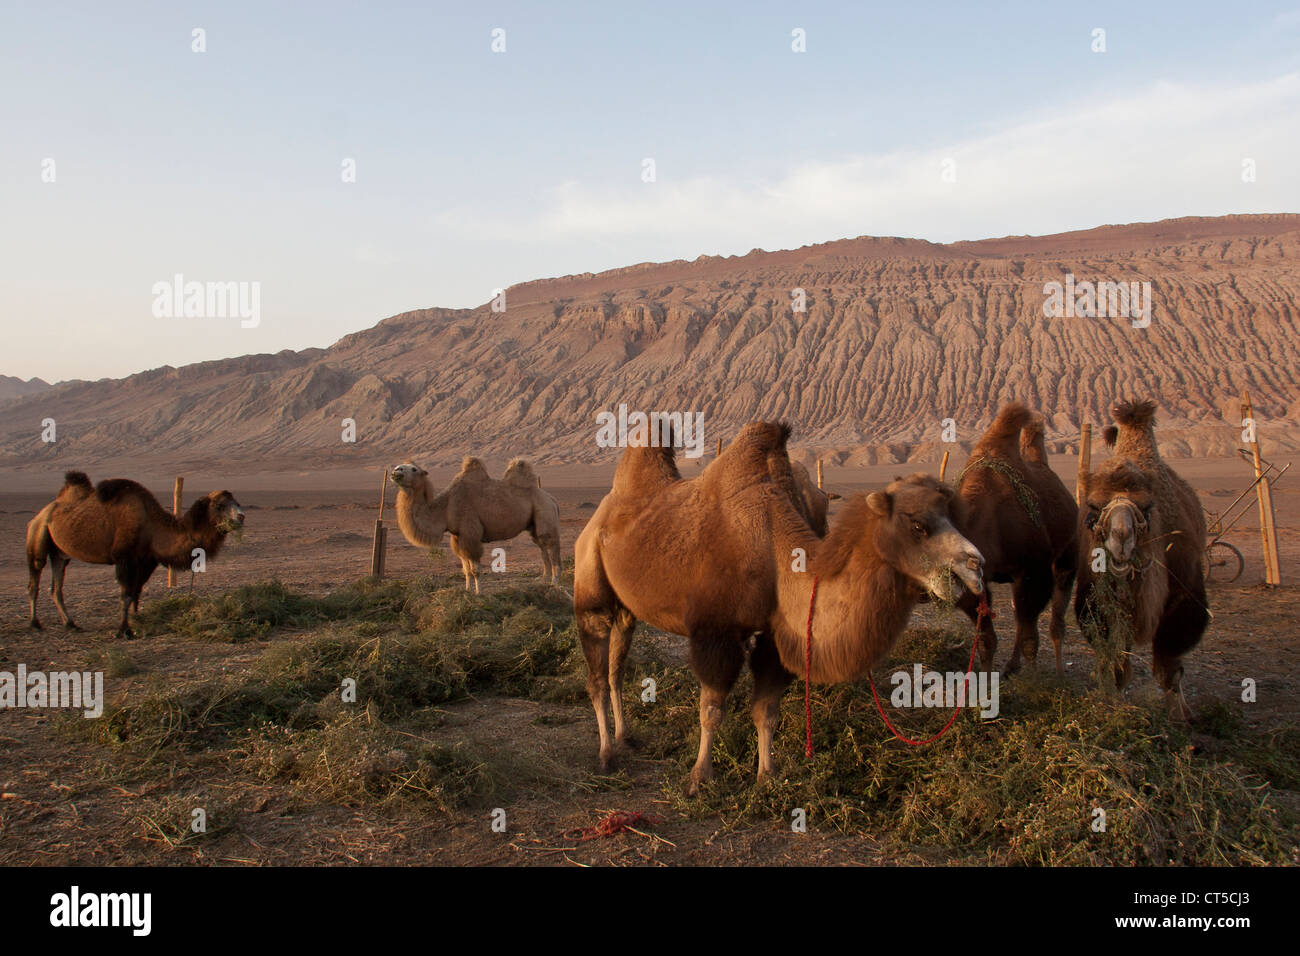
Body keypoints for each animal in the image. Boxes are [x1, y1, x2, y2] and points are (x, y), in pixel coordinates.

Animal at [26, 471, 245, 638]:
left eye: (237, 502)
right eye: (220, 505)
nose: (241, 517)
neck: (152, 527)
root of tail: (43, 512)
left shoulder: (147, 561)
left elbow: (137, 592)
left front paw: (137, 619)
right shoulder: (125, 559)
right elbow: (126, 594)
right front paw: (124, 630)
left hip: (60, 553)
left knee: (56, 586)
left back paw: (70, 624)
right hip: (38, 535)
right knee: (35, 579)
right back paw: (35, 623)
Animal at [389, 457, 562, 592]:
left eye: (413, 469)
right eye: (400, 466)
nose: (396, 471)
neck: (445, 508)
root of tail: (552, 499)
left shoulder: (470, 533)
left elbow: (475, 569)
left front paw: (479, 592)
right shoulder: (457, 536)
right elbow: (466, 569)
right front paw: (467, 590)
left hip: (545, 513)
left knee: (551, 546)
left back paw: (555, 582)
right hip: (534, 524)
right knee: (542, 547)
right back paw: (543, 579)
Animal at [574, 422, 984, 794]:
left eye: (952, 517)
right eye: (918, 525)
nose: (976, 564)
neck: (777, 552)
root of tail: (602, 514)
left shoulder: (774, 638)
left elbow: (766, 712)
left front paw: (767, 776)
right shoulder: (715, 633)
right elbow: (711, 710)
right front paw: (699, 778)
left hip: (625, 605)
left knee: (617, 666)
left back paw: (626, 737)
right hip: (589, 579)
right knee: (596, 671)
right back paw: (607, 754)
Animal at [954, 403, 1079, 674]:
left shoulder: (1034, 572)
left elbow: (1030, 636)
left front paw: (1034, 678)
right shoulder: (980, 583)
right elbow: (987, 639)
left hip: (1067, 555)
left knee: (1056, 613)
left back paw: (1059, 669)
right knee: (1019, 616)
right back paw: (1011, 666)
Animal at [1074, 400, 1208, 719]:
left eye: (1148, 507)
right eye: (1094, 507)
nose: (1121, 536)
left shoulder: (1184, 597)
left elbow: (1170, 666)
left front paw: (1180, 715)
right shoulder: (1099, 604)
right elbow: (1116, 662)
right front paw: (1113, 703)